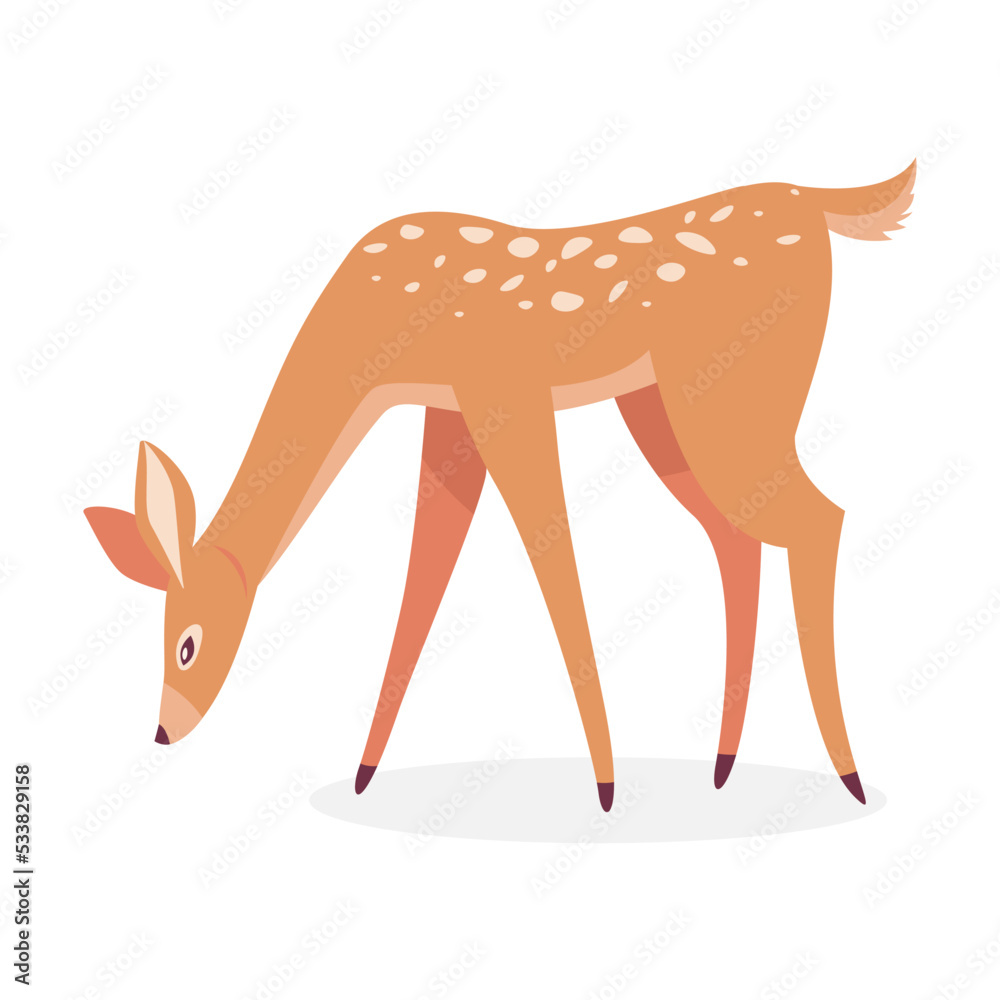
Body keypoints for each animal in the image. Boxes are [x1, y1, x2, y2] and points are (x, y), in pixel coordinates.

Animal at [85, 160, 915, 812]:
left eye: (187, 646)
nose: (163, 729)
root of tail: (815, 200)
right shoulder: (447, 413)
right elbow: (425, 576)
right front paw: (364, 773)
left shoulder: (503, 392)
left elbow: (552, 561)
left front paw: (606, 788)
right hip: (670, 405)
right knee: (735, 536)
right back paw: (723, 769)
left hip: (728, 395)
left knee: (821, 517)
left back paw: (846, 776)